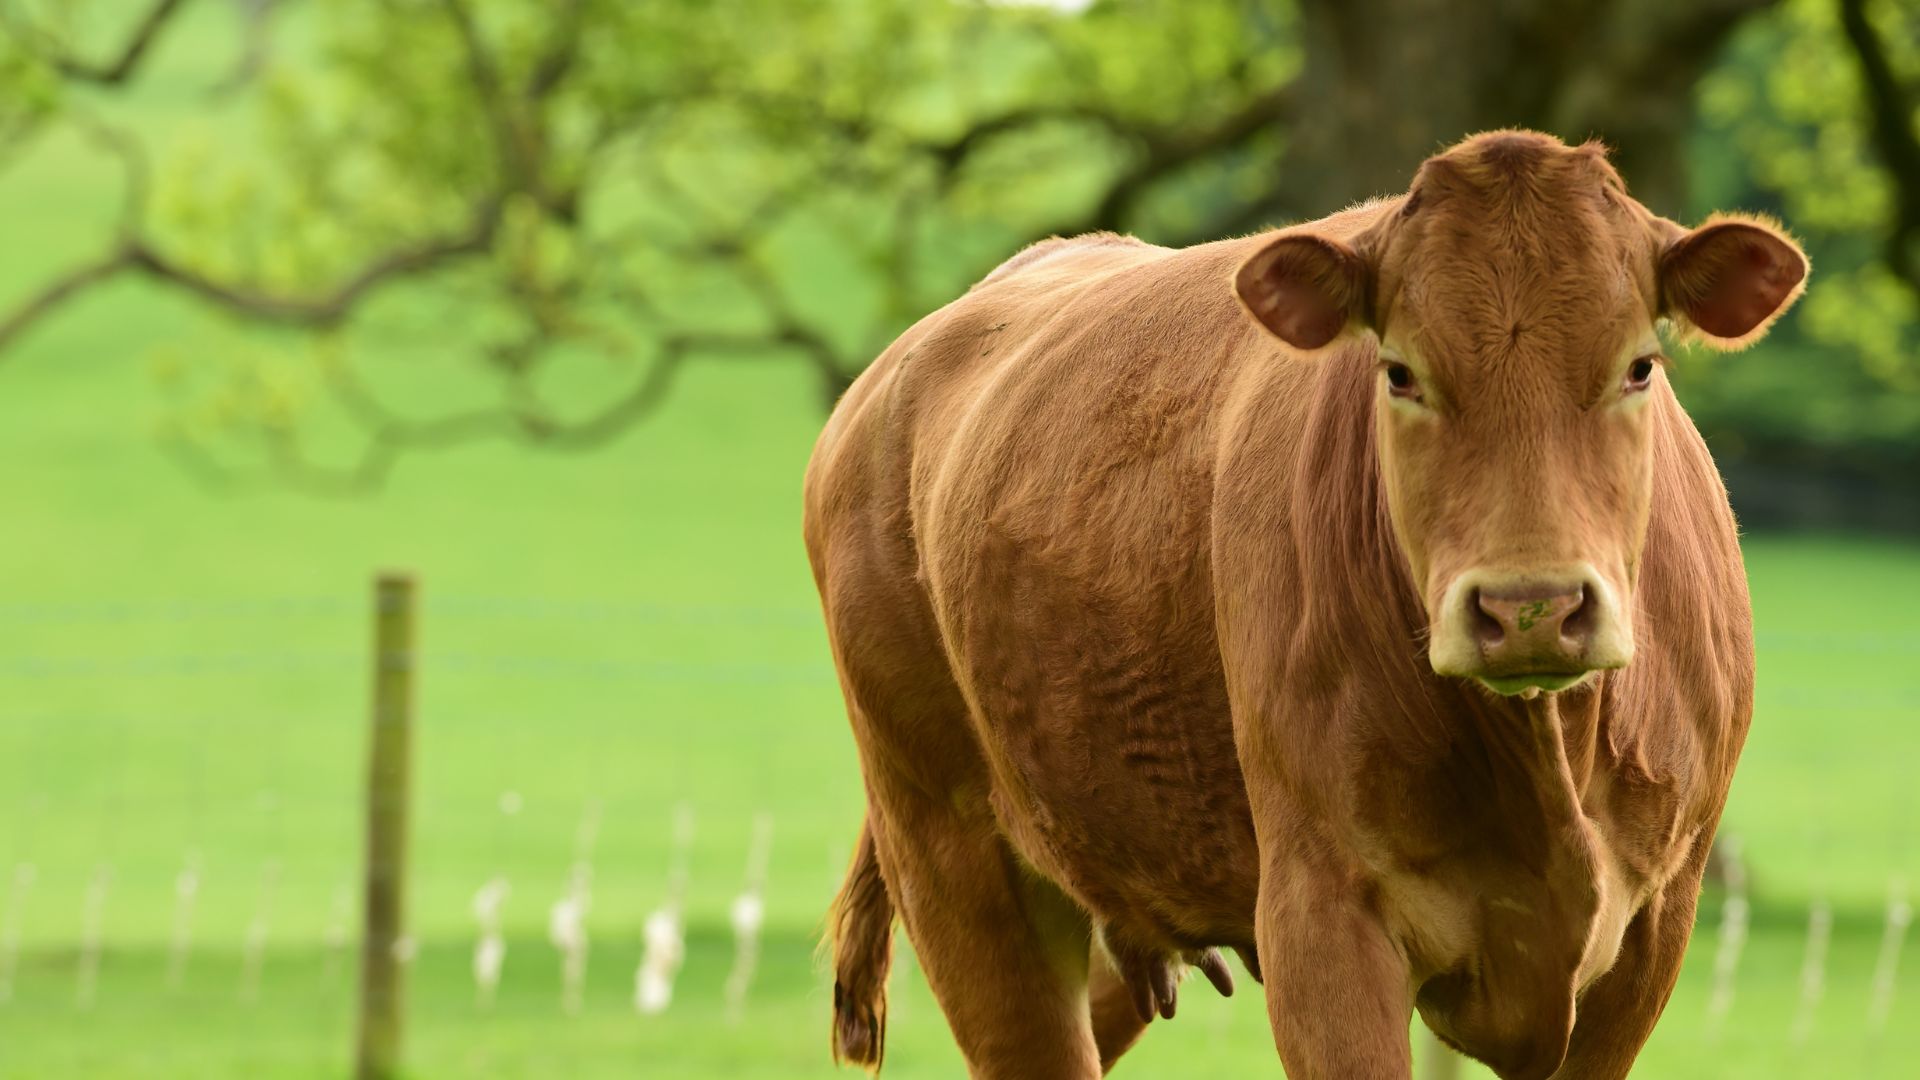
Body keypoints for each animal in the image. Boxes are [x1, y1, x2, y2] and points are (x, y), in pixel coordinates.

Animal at [803, 130, 1806, 1079]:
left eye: (1640, 366)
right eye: (1398, 371)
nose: (1531, 607)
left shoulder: (1654, 927)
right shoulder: (1321, 912)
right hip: (949, 844)